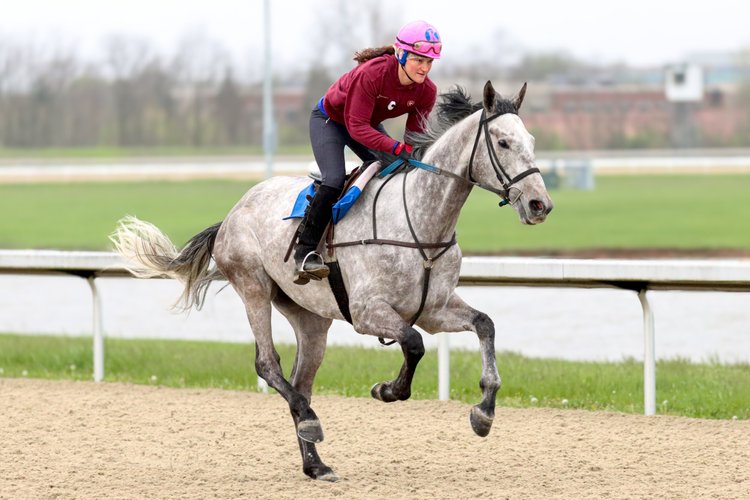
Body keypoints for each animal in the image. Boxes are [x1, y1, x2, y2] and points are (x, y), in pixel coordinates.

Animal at [111, 81, 554, 482]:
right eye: (503, 142)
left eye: (531, 140)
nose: (540, 205)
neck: (419, 222)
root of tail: (233, 211)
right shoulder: (367, 312)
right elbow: (413, 344)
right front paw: (387, 390)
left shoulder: (435, 309)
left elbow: (484, 325)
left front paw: (483, 413)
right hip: (253, 287)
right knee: (268, 365)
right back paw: (310, 422)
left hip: (311, 319)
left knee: (301, 381)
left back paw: (315, 464)